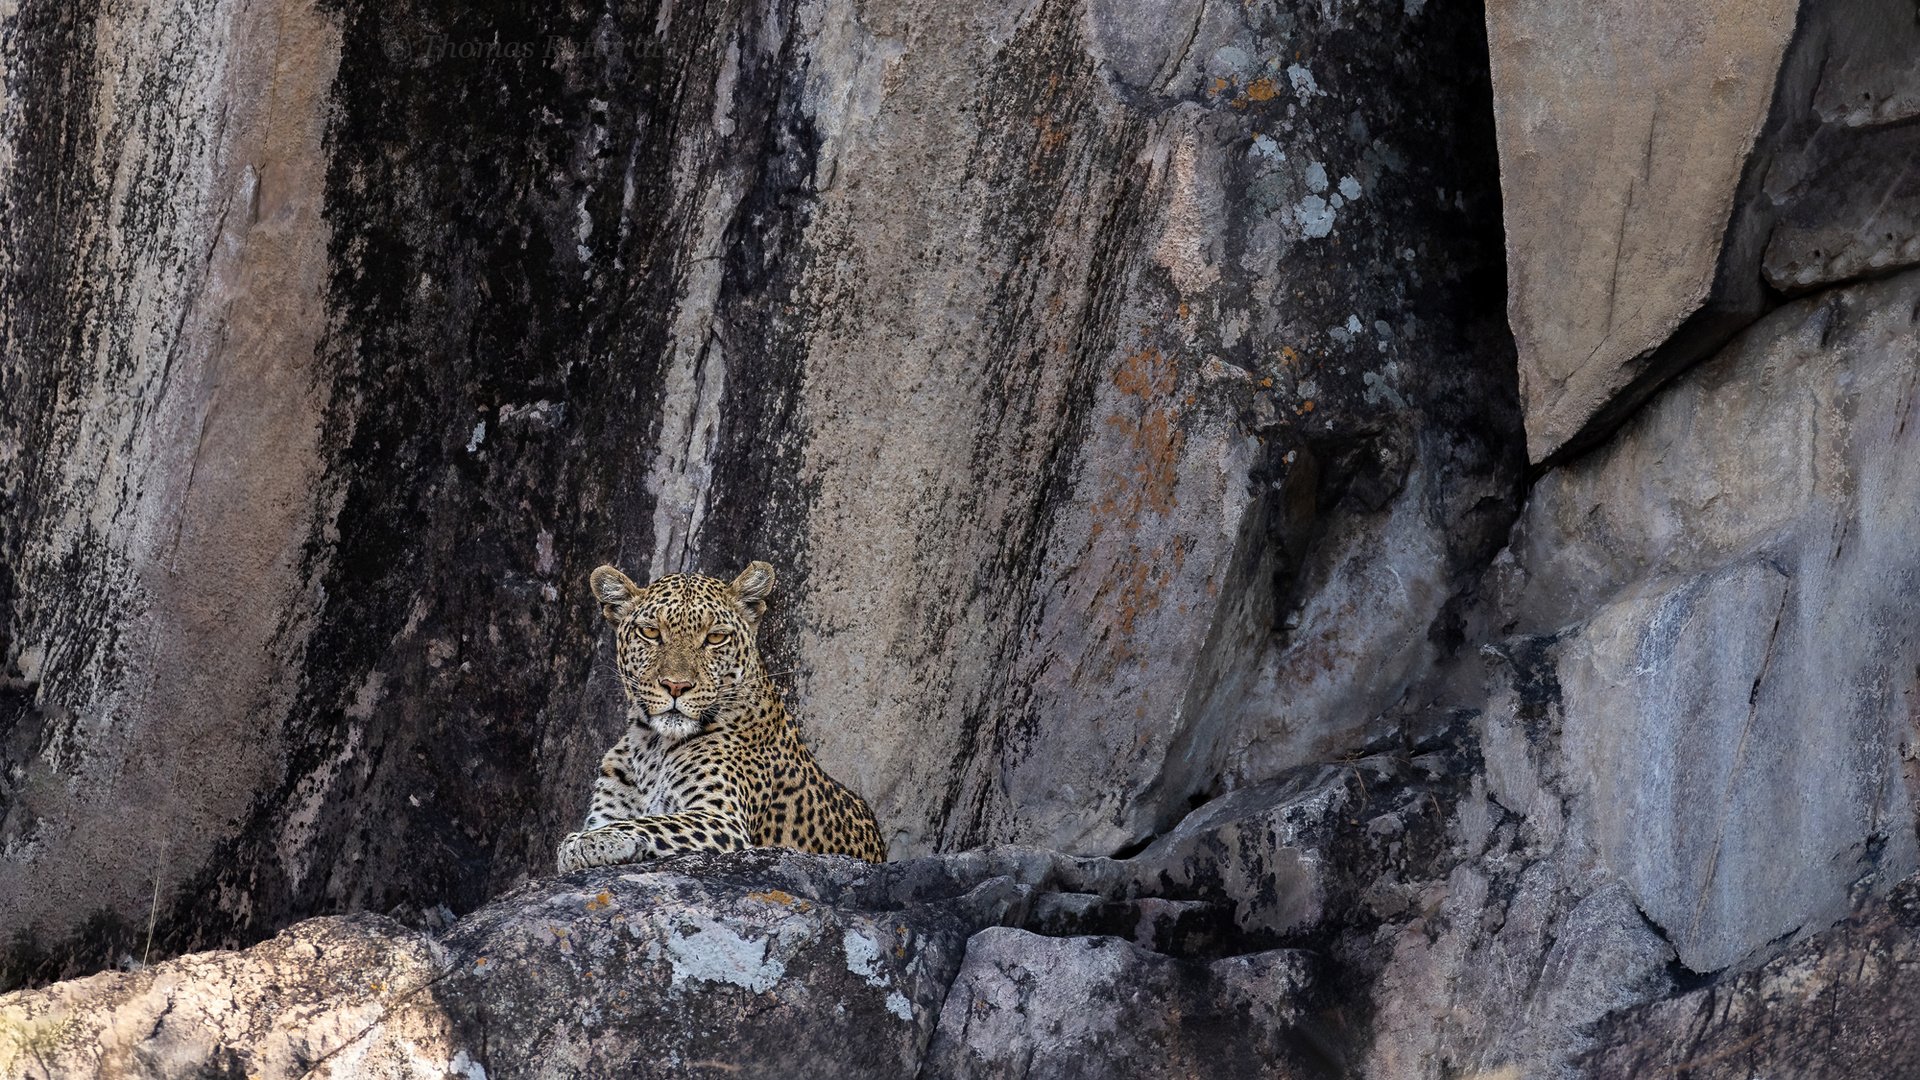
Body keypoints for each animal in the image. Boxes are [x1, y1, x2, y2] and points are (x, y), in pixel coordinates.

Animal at [552, 557, 887, 868]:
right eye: (650, 632)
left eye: (715, 637)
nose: (676, 686)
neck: (651, 748)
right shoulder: (607, 811)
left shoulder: (722, 820)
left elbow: (653, 822)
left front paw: (588, 842)